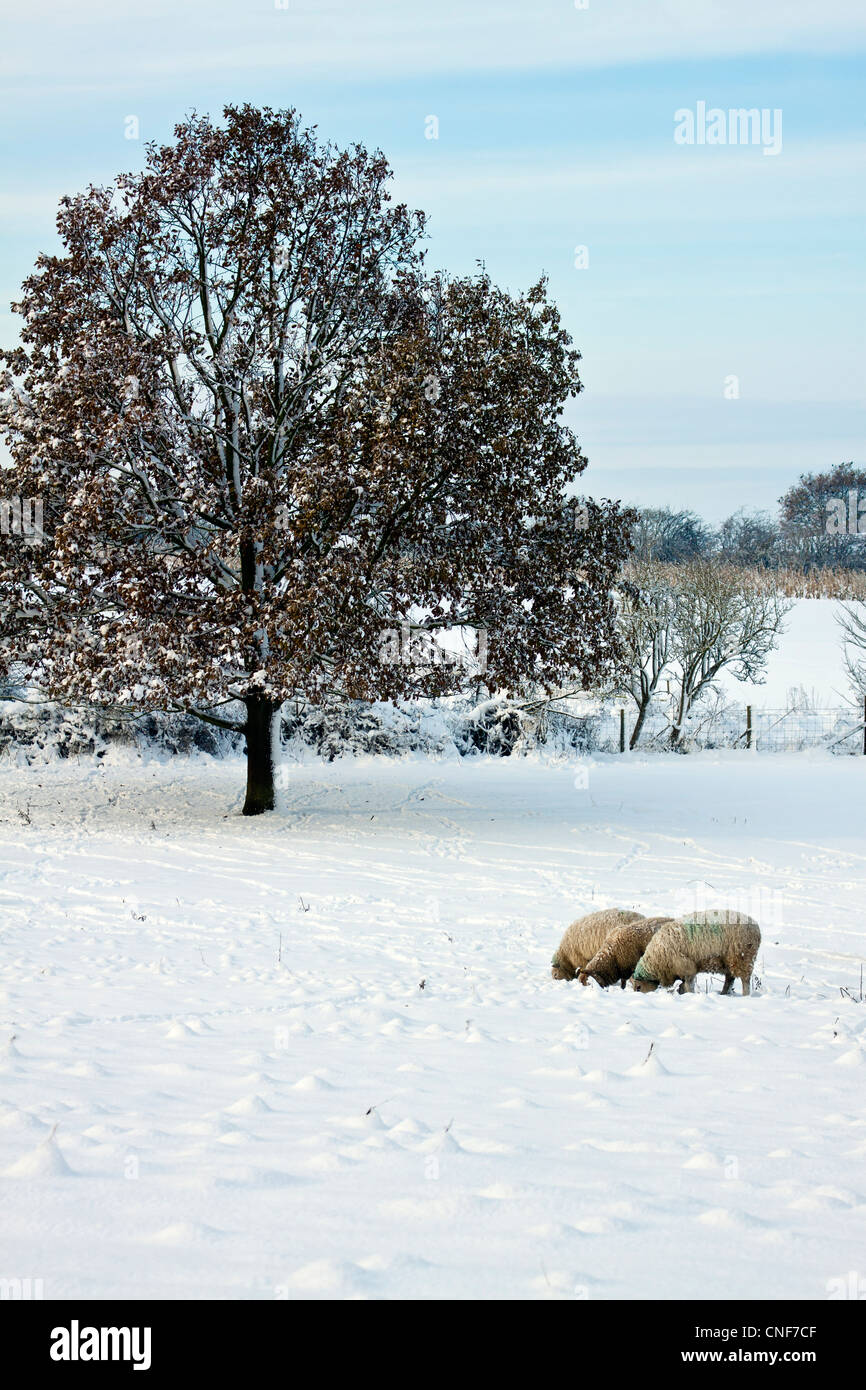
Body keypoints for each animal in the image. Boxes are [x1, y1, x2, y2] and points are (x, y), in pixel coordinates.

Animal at [631, 909, 760, 995]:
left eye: (638, 987)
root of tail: (756, 926)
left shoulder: (686, 967)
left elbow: (689, 985)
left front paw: (689, 994)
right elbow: (683, 985)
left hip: (742, 957)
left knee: (745, 979)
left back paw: (745, 995)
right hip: (729, 961)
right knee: (730, 979)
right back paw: (724, 993)